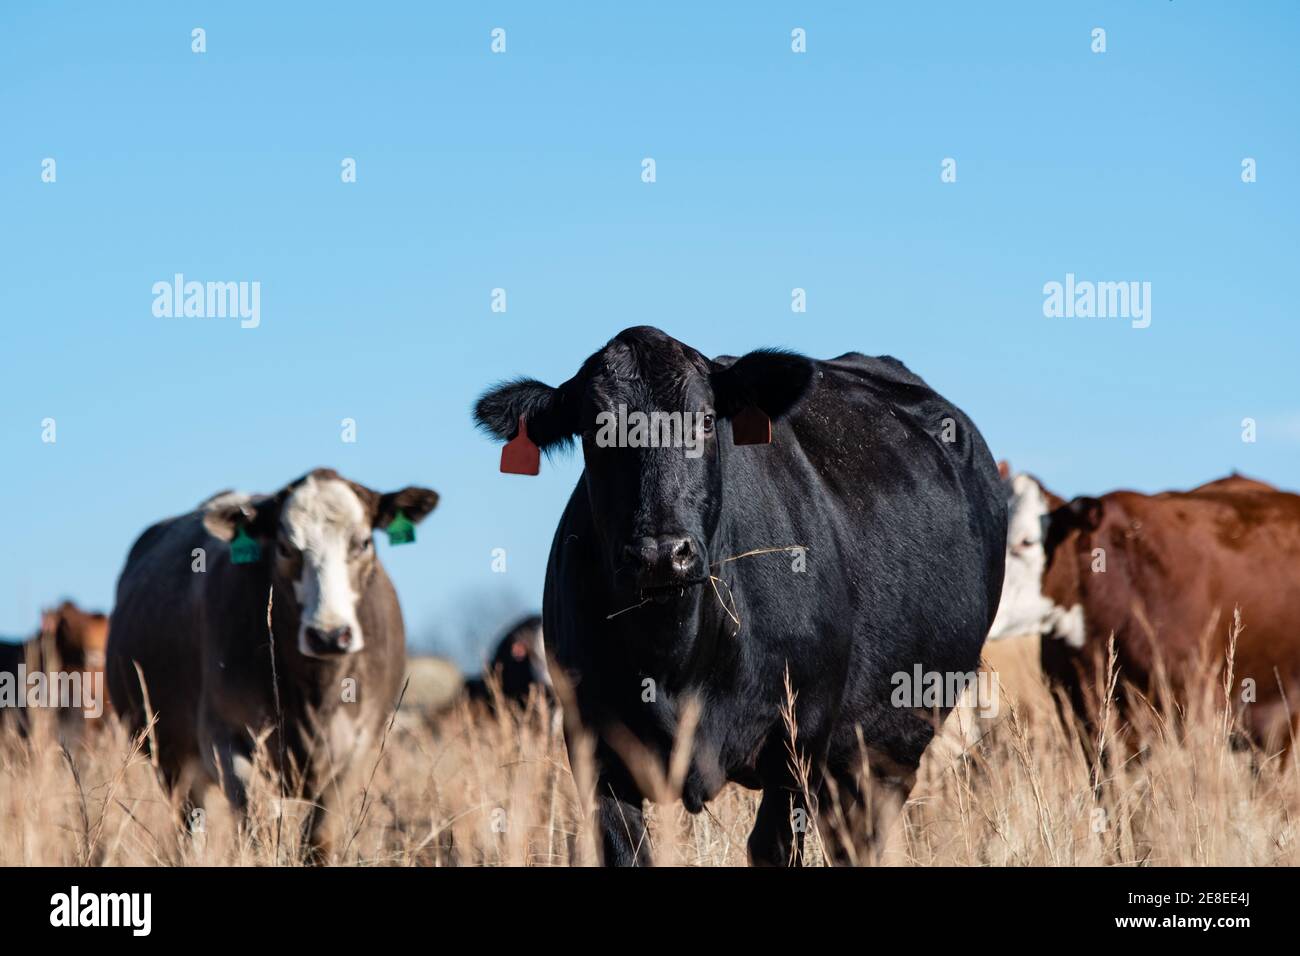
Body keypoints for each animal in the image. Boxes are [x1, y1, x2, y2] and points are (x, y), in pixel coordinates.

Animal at [106, 468, 438, 858]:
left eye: (363, 543)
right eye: (285, 548)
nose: (328, 635)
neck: (315, 691)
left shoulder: (358, 746)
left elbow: (319, 836)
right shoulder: (225, 738)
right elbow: (257, 828)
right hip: (171, 759)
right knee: (192, 828)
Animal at [474, 326, 1006, 866]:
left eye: (707, 420)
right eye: (593, 431)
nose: (661, 554)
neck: (673, 660)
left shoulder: (800, 742)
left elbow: (772, 846)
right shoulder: (594, 747)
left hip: (887, 753)